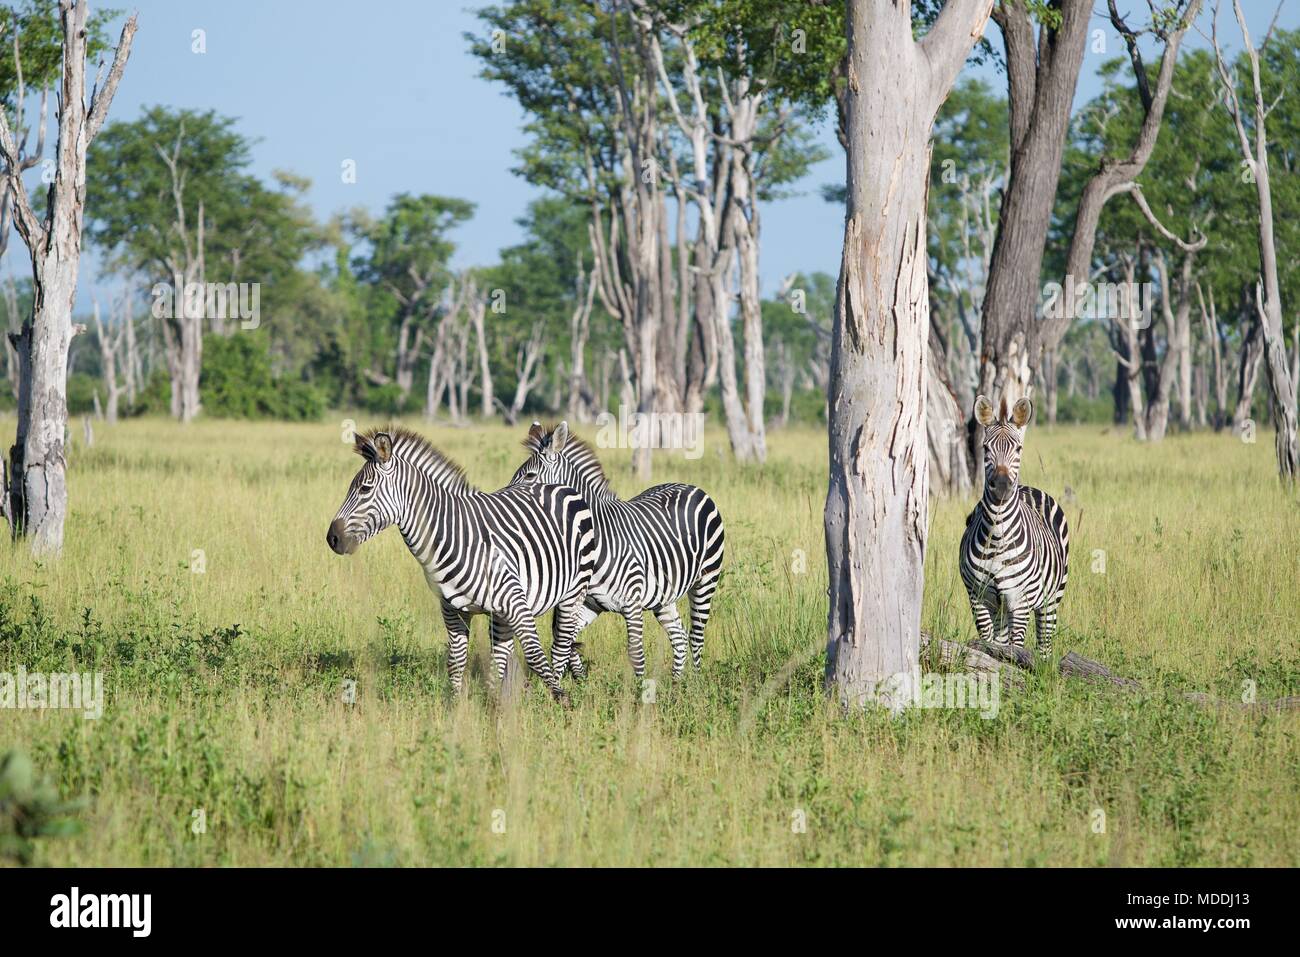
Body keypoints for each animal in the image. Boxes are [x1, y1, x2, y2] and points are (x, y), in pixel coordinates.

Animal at [326, 427, 597, 702]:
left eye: (365, 489)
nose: (332, 539)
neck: (454, 536)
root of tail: (560, 485)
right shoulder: (453, 610)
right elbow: (456, 662)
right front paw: (456, 708)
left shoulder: (517, 604)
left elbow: (535, 655)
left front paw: (561, 700)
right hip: (503, 615)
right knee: (500, 659)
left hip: (573, 593)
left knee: (560, 647)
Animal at [509, 421, 725, 679]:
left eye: (530, 475)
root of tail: (691, 486)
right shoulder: (589, 603)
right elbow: (565, 644)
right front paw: (579, 679)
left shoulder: (632, 603)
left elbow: (636, 654)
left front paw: (640, 690)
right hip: (664, 596)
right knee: (679, 636)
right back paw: (677, 683)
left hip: (706, 580)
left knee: (696, 637)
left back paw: (695, 682)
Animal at [959, 395, 1070, 660]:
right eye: (985, 448)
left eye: (1018, 449)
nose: (1001, 485)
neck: (997, 537)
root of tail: (1028, 487)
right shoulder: (979, 598)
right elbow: (989, 644)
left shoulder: (1019, 601)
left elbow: (1015, 648)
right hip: (1000, 607)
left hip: (1051, 599)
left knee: (1044, 643)